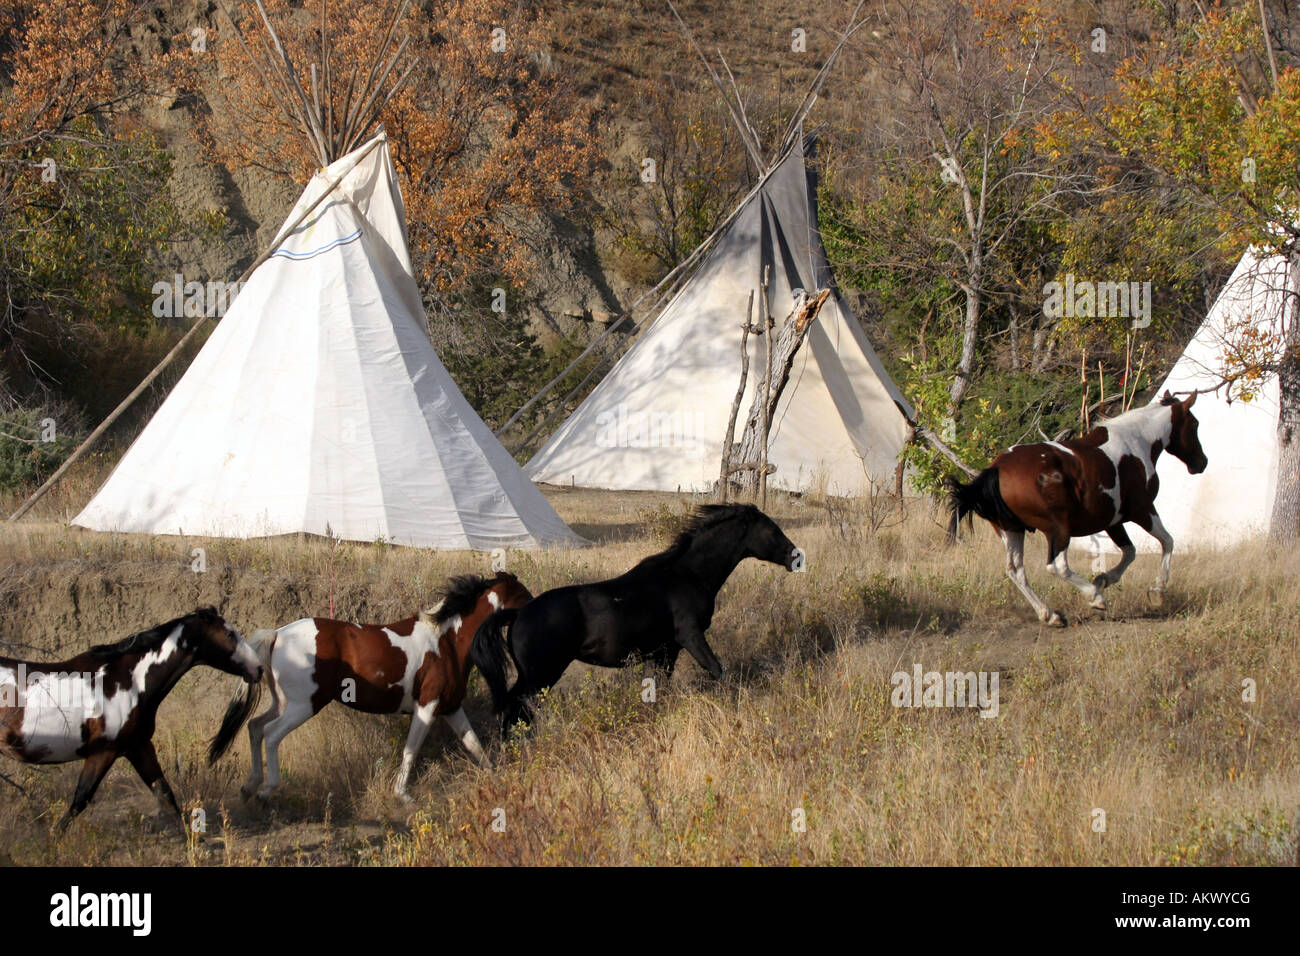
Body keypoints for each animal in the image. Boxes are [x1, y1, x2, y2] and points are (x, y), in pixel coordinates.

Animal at [0, 607, 262, 831]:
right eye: (229, 634)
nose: (258, 668)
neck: (128, 682)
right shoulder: (103, 752)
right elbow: (80, 800)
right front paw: (53, 839)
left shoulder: (138, 746)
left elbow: (166, 794)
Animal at [209, 572, 533, 802]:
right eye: (525, 595)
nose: (537, 609)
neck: (447, 642)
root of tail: (277, 633)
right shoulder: (427, 707)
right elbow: (411, 749)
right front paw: (402, 795)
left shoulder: (451, 707)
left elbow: (474, 745)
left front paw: (496, 775)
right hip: (303, 705)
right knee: (271, 734)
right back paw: (266, 790)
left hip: (282, 703)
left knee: (254, 727)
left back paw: (249, 786)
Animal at [470, 503, 804, 737]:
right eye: (772, 530)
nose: (796, 557)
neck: (686, 576)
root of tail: (518, 613)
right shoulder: (690, 637)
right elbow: (717, 670)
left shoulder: (666, 650)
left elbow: (659, 688)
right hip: (540, 676)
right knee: (517, 712)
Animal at [949, 391, 1208, 626]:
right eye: (1194, 424)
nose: (1202, 463)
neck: (1136, 441)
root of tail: (996, 469)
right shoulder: (1142, 510)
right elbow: (1167, 541)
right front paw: (1157, 591)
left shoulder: (1113, 521)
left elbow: (1130, 551)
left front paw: (1104, 578)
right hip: (1058, 530)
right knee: (1057, 566)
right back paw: (1095, 598)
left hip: (1012, 530)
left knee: (1016, 570)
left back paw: (1050, 615)